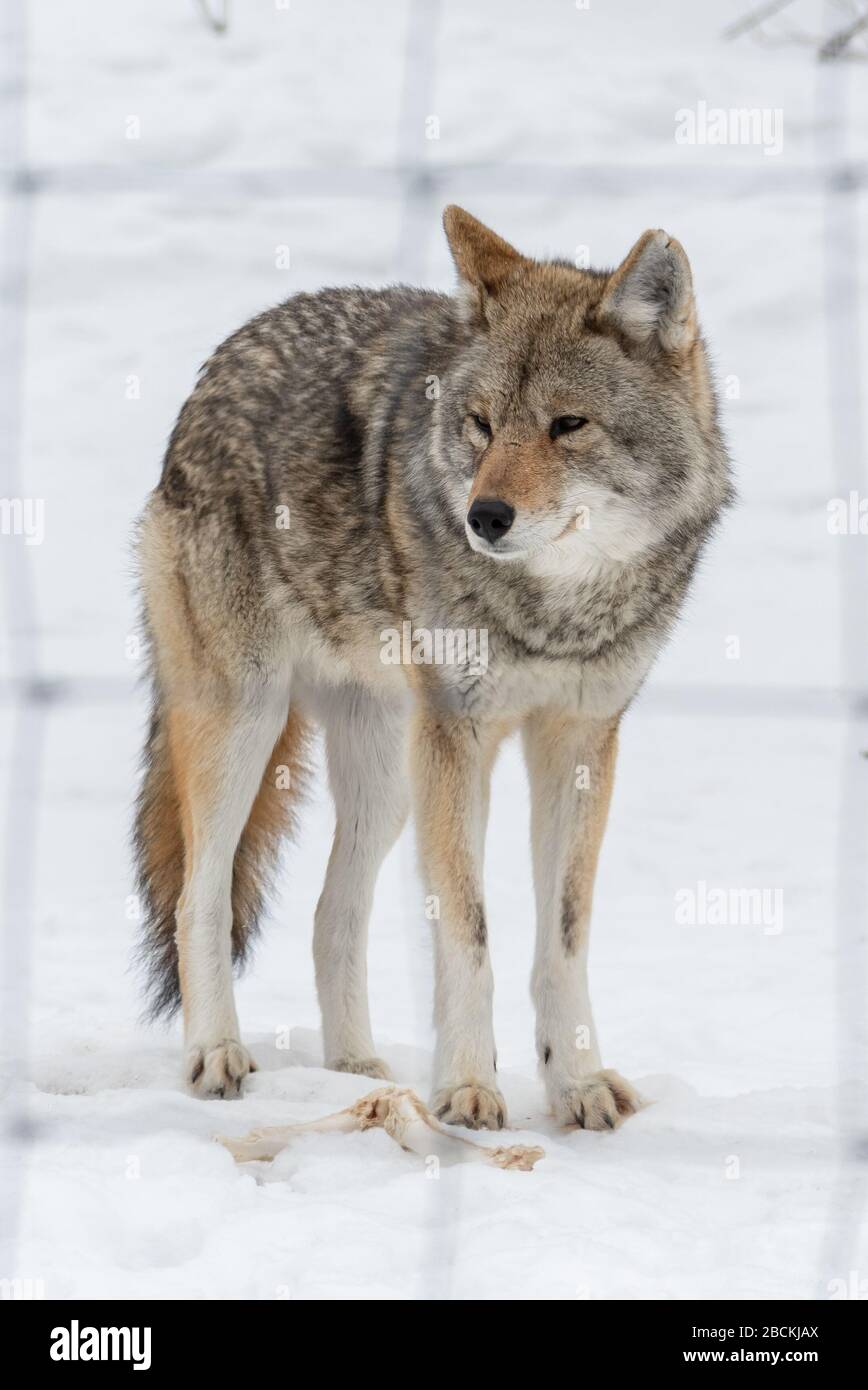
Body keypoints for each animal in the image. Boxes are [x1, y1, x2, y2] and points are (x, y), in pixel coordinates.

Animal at [134, 207, 732, 1130]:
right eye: (481, 424)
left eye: (568, 425)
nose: (485, 516)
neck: (555, 611)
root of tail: (218, 363)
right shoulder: (461, 736)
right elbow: (468, 931)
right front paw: (467, 1087)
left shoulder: (580, 740)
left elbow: (564, 934)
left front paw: (578, 1085)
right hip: (248, 728)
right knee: (201, 894)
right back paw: (216, 1055)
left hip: (387, 781)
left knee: (332, 912)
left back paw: (355, 1072)